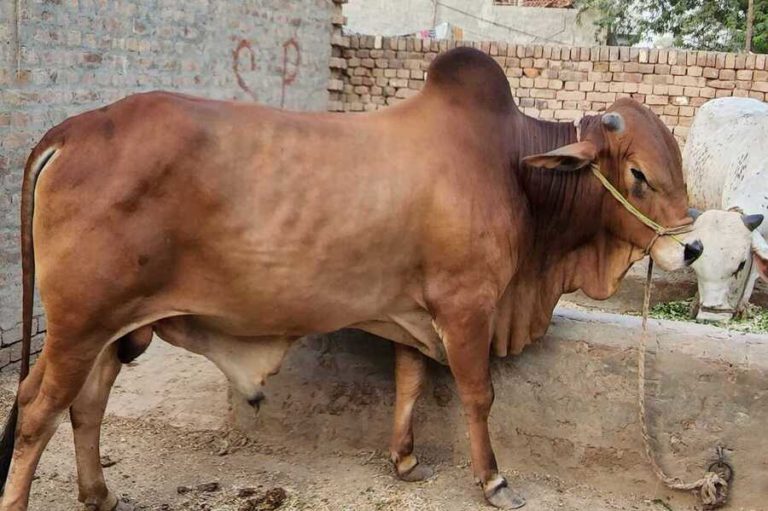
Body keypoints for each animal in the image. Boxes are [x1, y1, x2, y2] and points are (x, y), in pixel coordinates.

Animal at [0, 48, 702, 511]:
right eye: (639, 174)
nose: (692, 247)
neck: (513, 168)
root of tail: (73, 130)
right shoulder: (467, 305)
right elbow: (478, 396)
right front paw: (494, 481)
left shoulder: (413, 311)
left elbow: (409, 384)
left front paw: (406, 461)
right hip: (80, 324)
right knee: (37, 411)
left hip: (112, 328)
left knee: (85, 404)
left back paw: (99, 494)